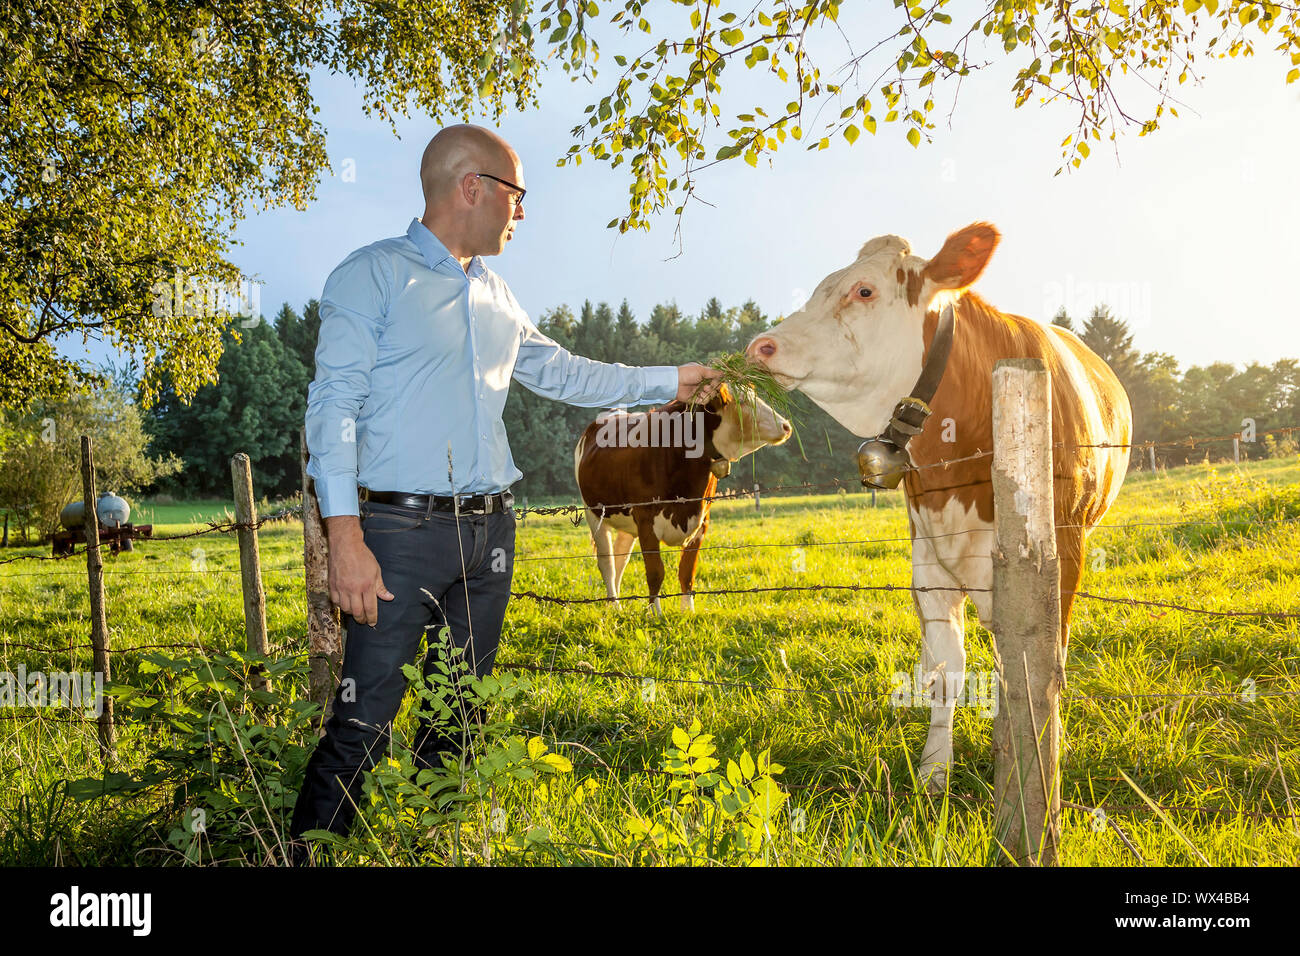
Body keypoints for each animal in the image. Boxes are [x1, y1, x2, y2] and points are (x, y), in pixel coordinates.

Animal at [574, 384, 792, 614]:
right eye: (742, 401)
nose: (786, 426)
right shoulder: (646, 520)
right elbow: (655, 571)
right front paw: (655, 614)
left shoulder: (702, 520)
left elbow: (687, 571)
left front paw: (688, 612)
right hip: (594, 514)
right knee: (607, 562)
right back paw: (614, 604)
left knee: (620, 558)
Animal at [745, 222, 1132, 789]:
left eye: (863, 290)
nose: (760, 346)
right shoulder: (927, 557)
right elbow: (948, 669)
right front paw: (934, 771)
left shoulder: (1062, 556)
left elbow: (1041, 671)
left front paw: (1035, 762)